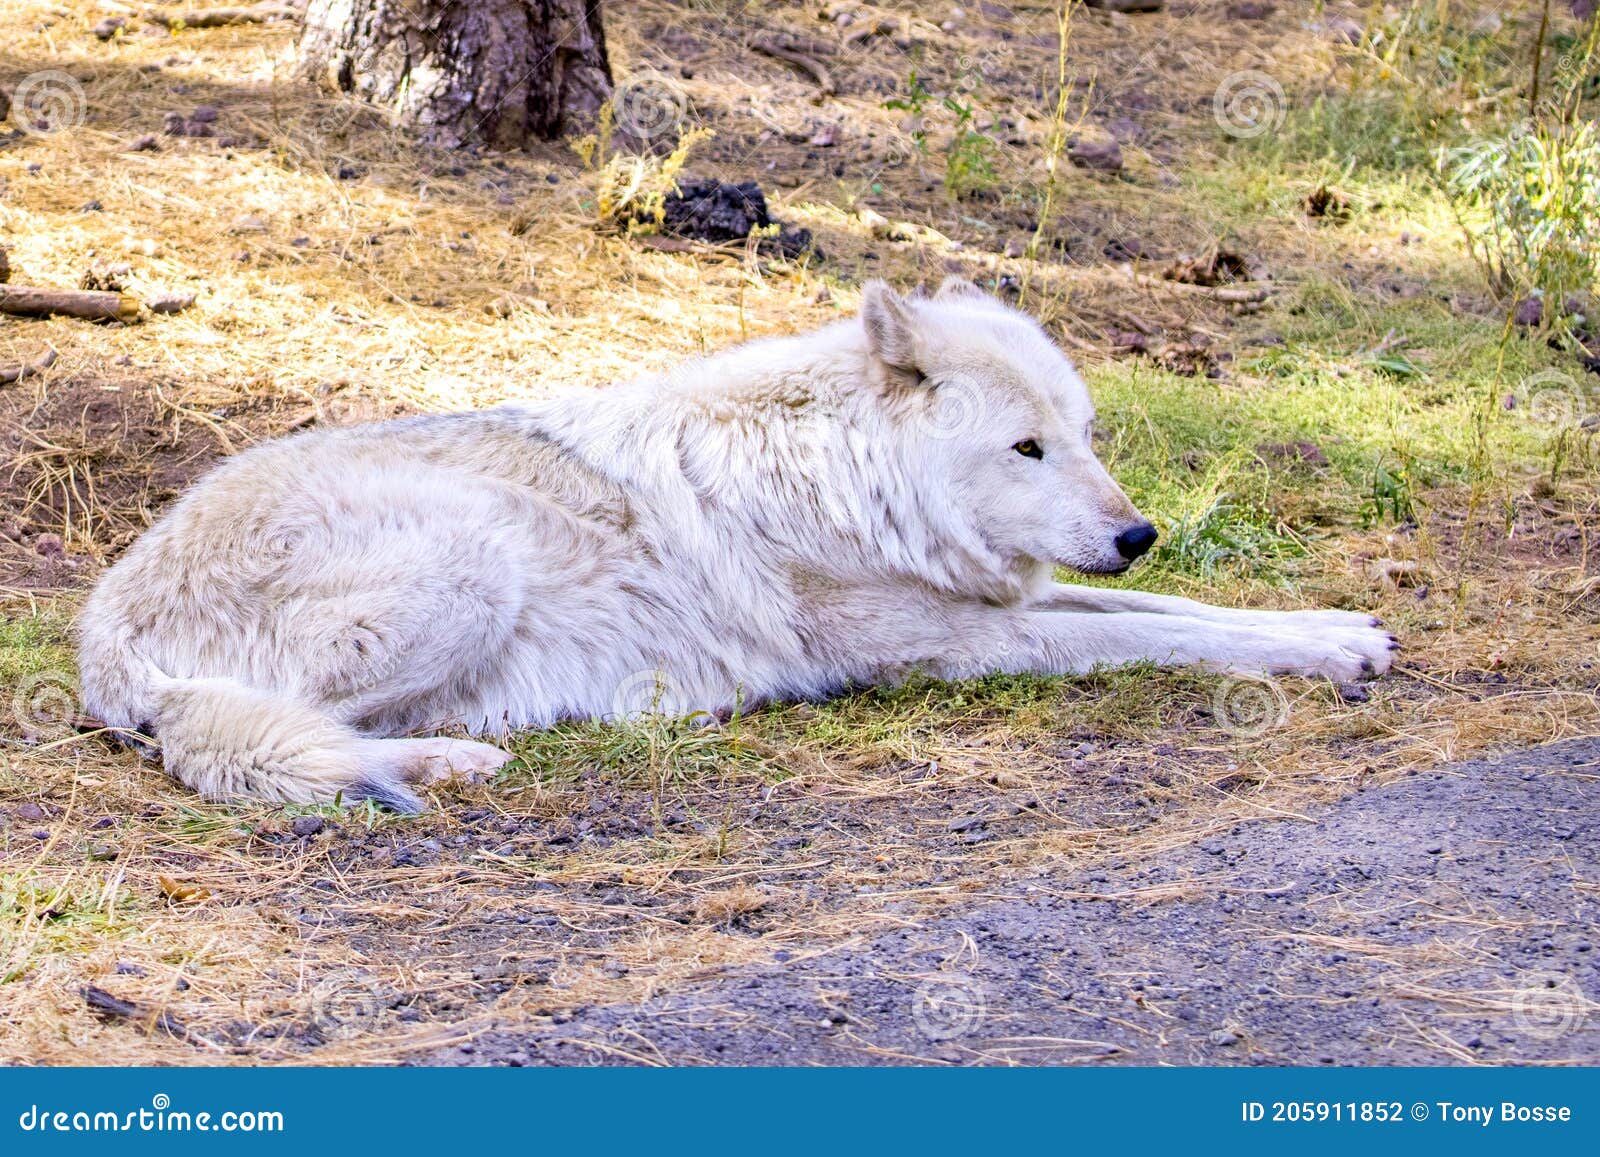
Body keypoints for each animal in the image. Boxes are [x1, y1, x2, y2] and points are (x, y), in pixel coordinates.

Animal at [76, 279, 1396, 809]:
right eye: (1023, 448)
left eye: (1081, 436)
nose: (1138, 529)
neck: (845, 479)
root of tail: (101, 632)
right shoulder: (965, 643)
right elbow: (1161, 631)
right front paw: (1325, 652)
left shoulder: (1005, 602)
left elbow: (1186, 612)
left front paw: (1338, 629)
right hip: (471, 564)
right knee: (258, 733)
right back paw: (446, 764)